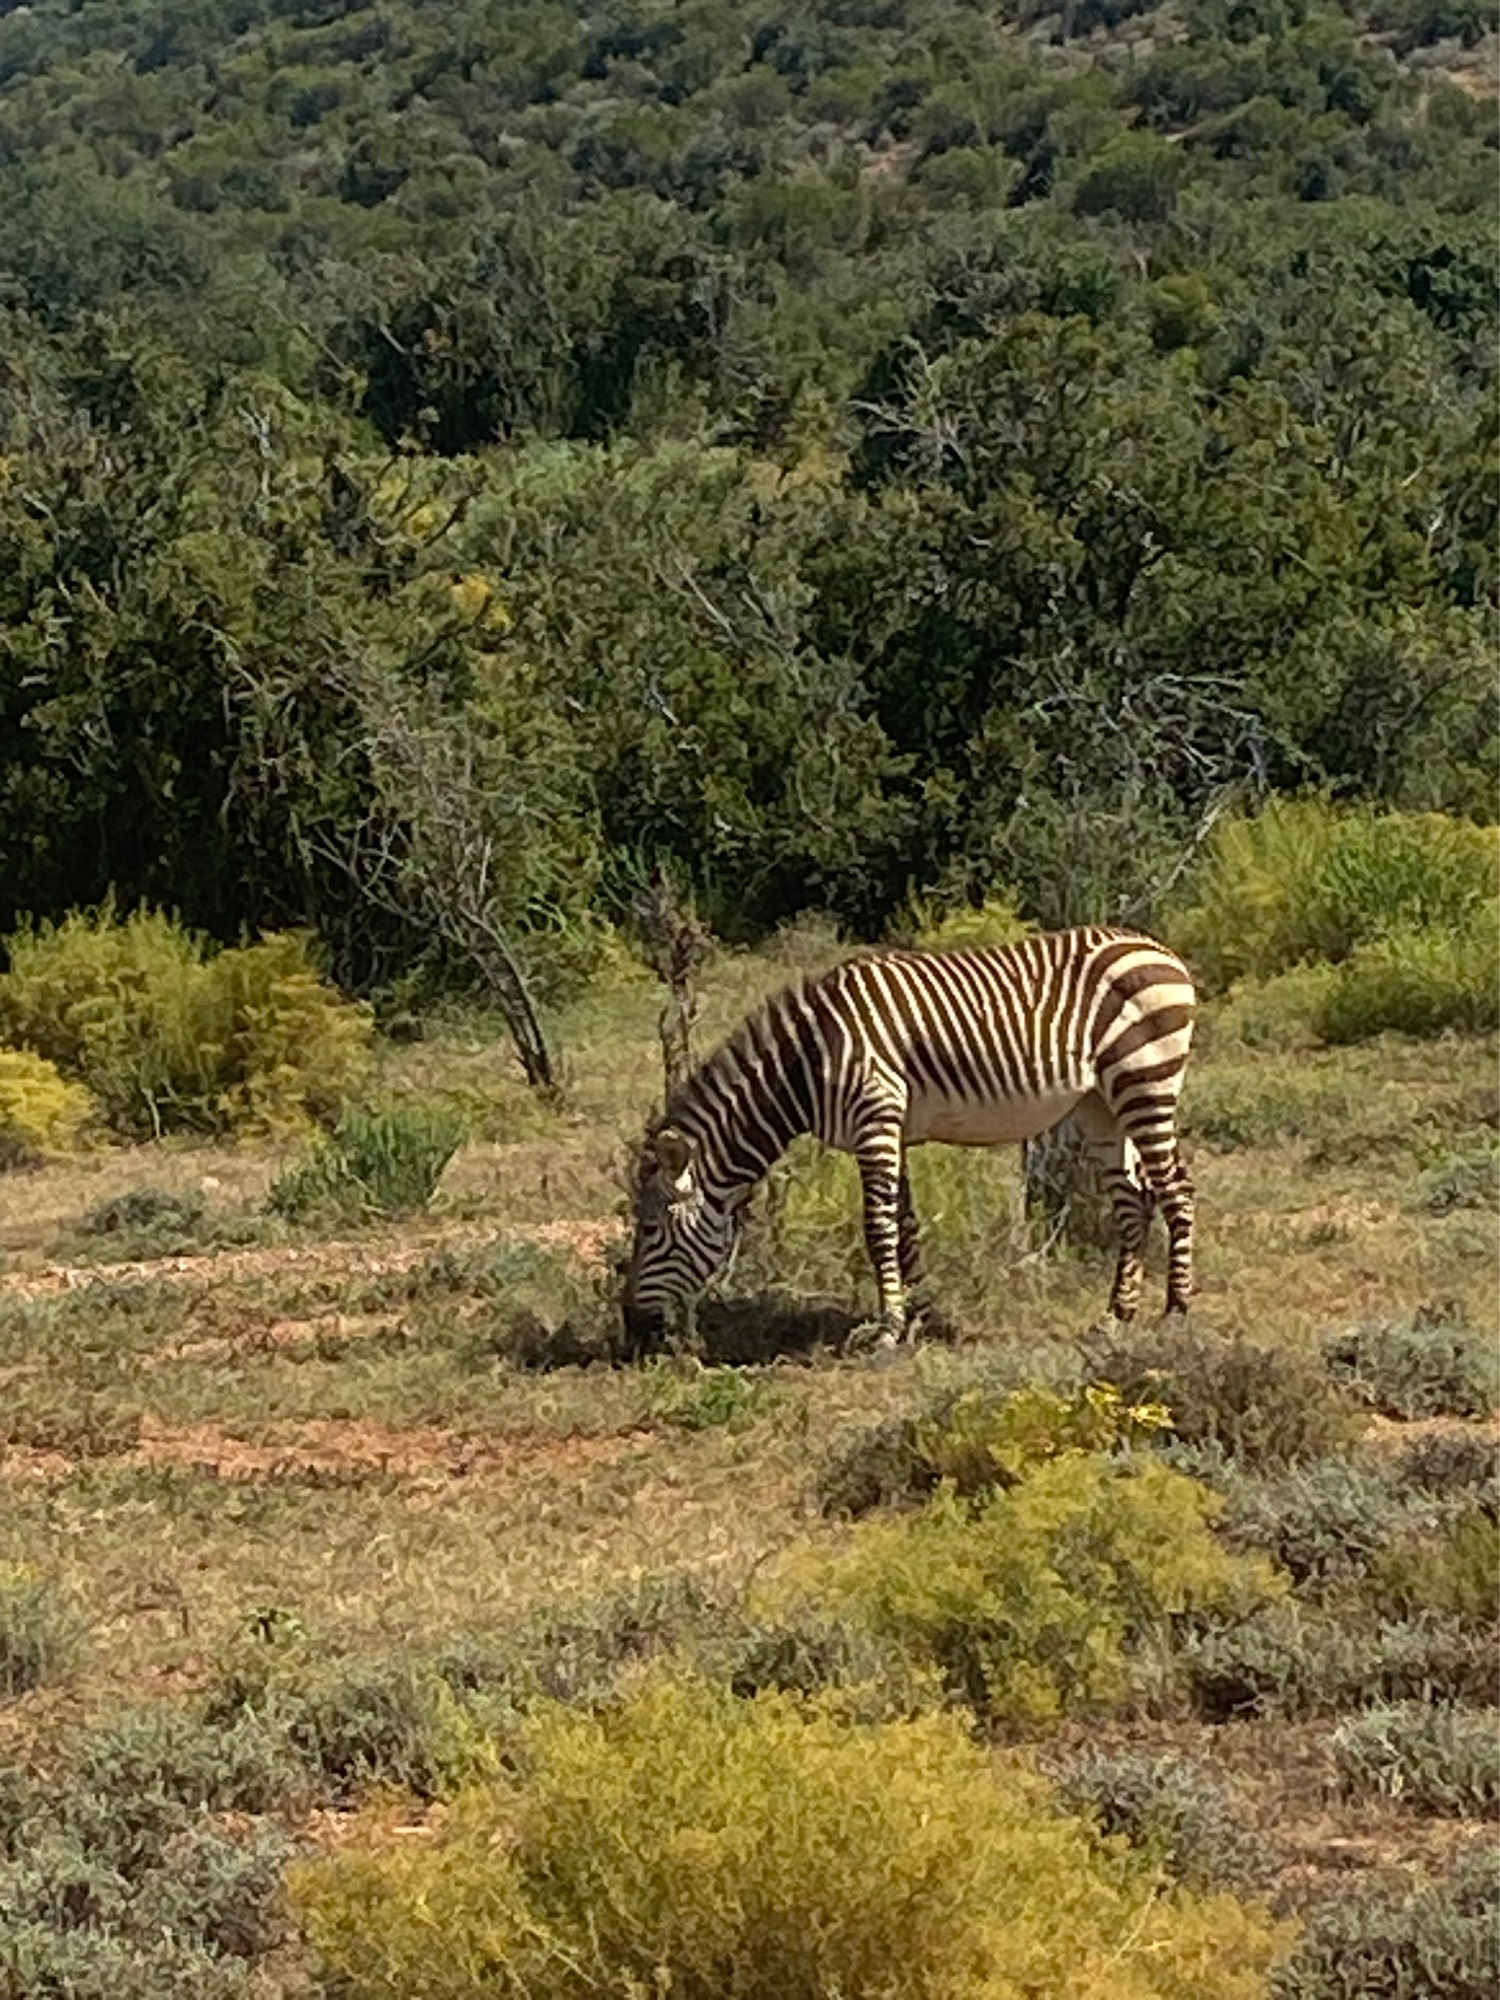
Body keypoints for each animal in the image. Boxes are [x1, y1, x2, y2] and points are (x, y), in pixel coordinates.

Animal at [624, 928, 1200, 1352]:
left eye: (650, 1230)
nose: (632, 1326)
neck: (806, 1063)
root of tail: (1160, 949)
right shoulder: (890, 1129)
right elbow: (905, 1225)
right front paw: (917, 1315)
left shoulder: (875, 1117)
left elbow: (876, 1227)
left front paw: (887, 1330)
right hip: (1100, 1103)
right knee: (1133, 1201)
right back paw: (1116, 1316)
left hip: (1144, 1079)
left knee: (1177, 1191)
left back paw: (1175, 1312)